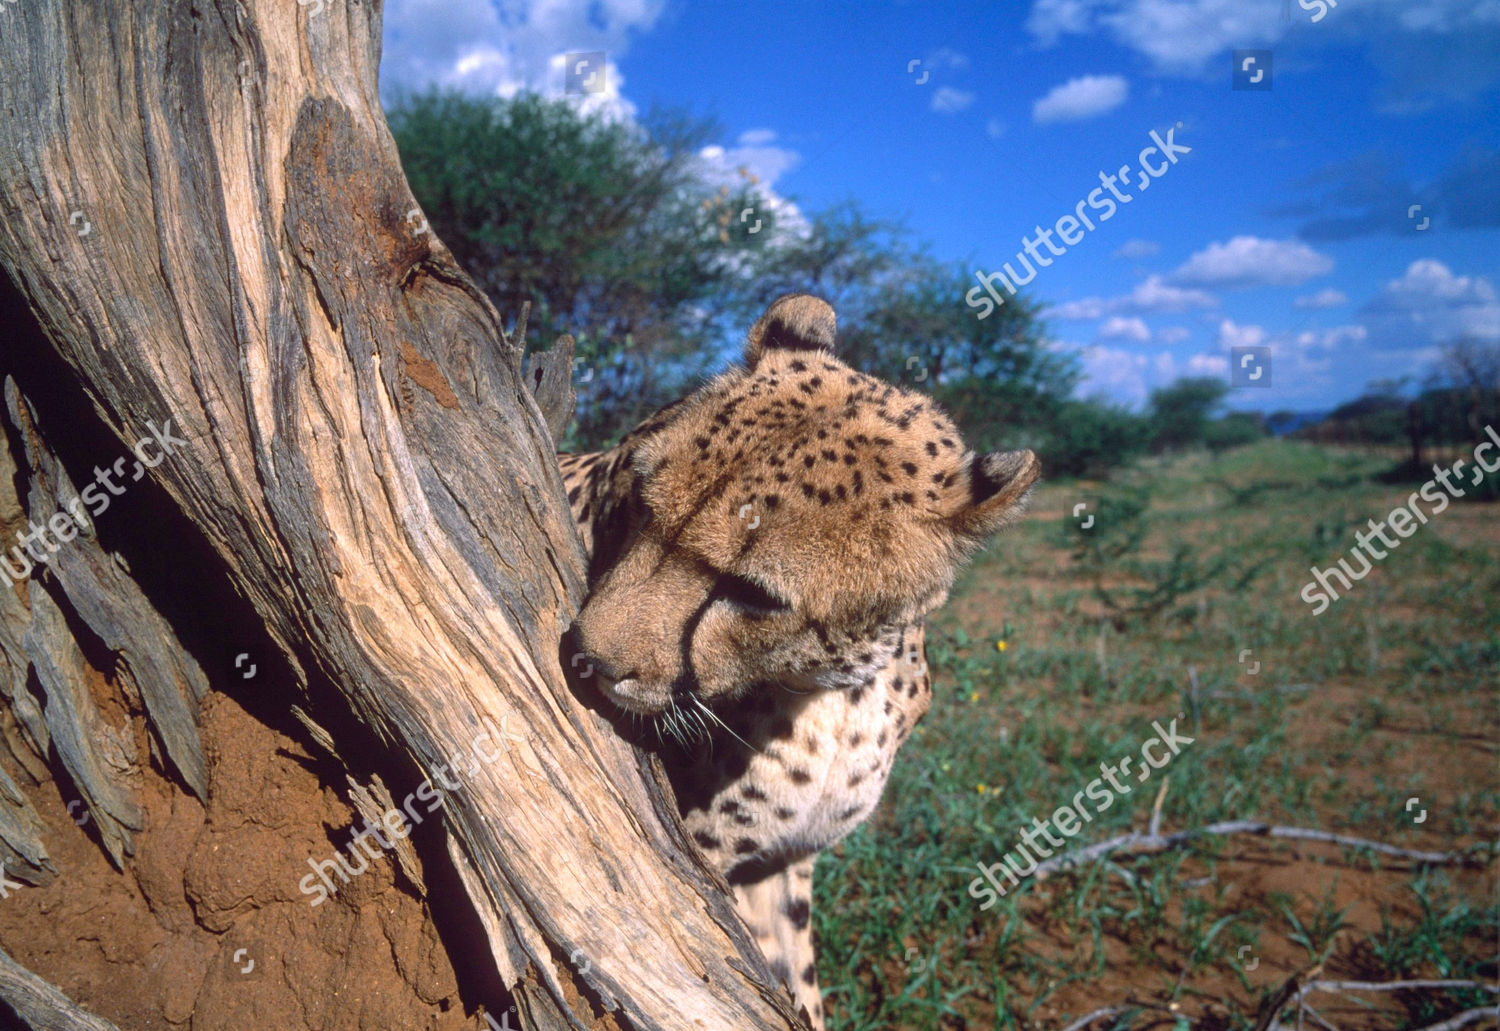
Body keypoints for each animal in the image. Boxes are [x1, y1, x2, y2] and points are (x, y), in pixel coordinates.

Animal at [558, 293, 1038, 1028]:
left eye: (754, 593)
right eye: (639, 498)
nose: (587, 657)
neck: (837, 694)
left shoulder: (776, 864)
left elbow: (799, 988)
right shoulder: (714, 864)